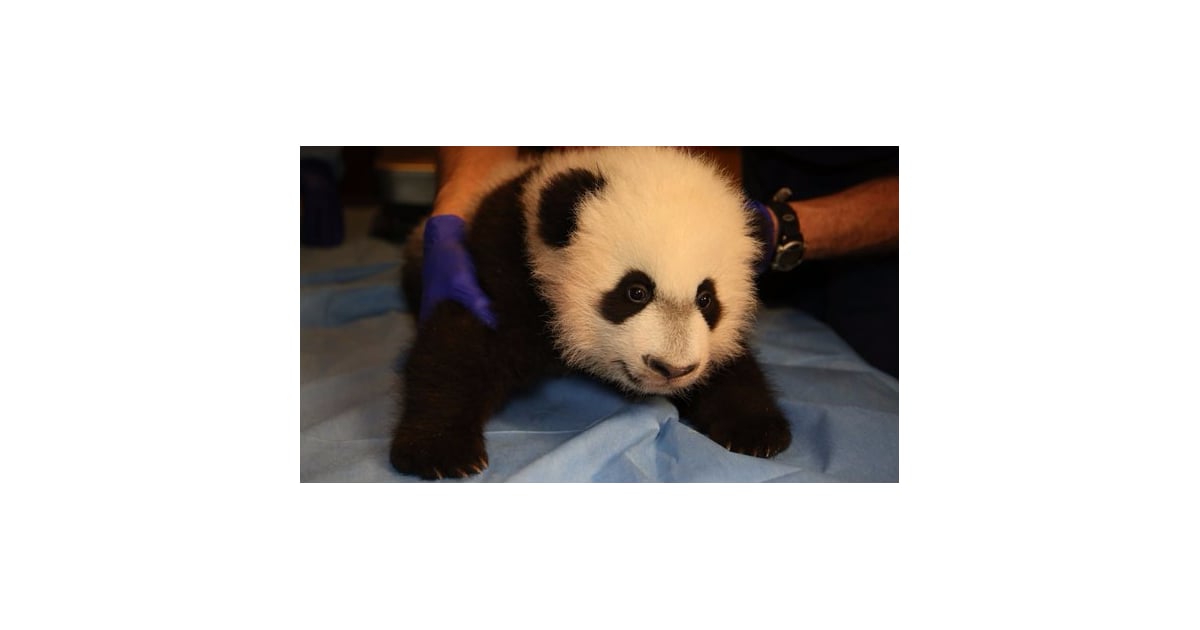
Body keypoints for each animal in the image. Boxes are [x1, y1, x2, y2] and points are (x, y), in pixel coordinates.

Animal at [391, 147, 791, 479]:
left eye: (706, 299)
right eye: (635, 292)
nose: (671, 369)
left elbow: (731, 366)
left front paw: (756, 430)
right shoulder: (505, 263)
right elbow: (461, 348)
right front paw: (441, 451)